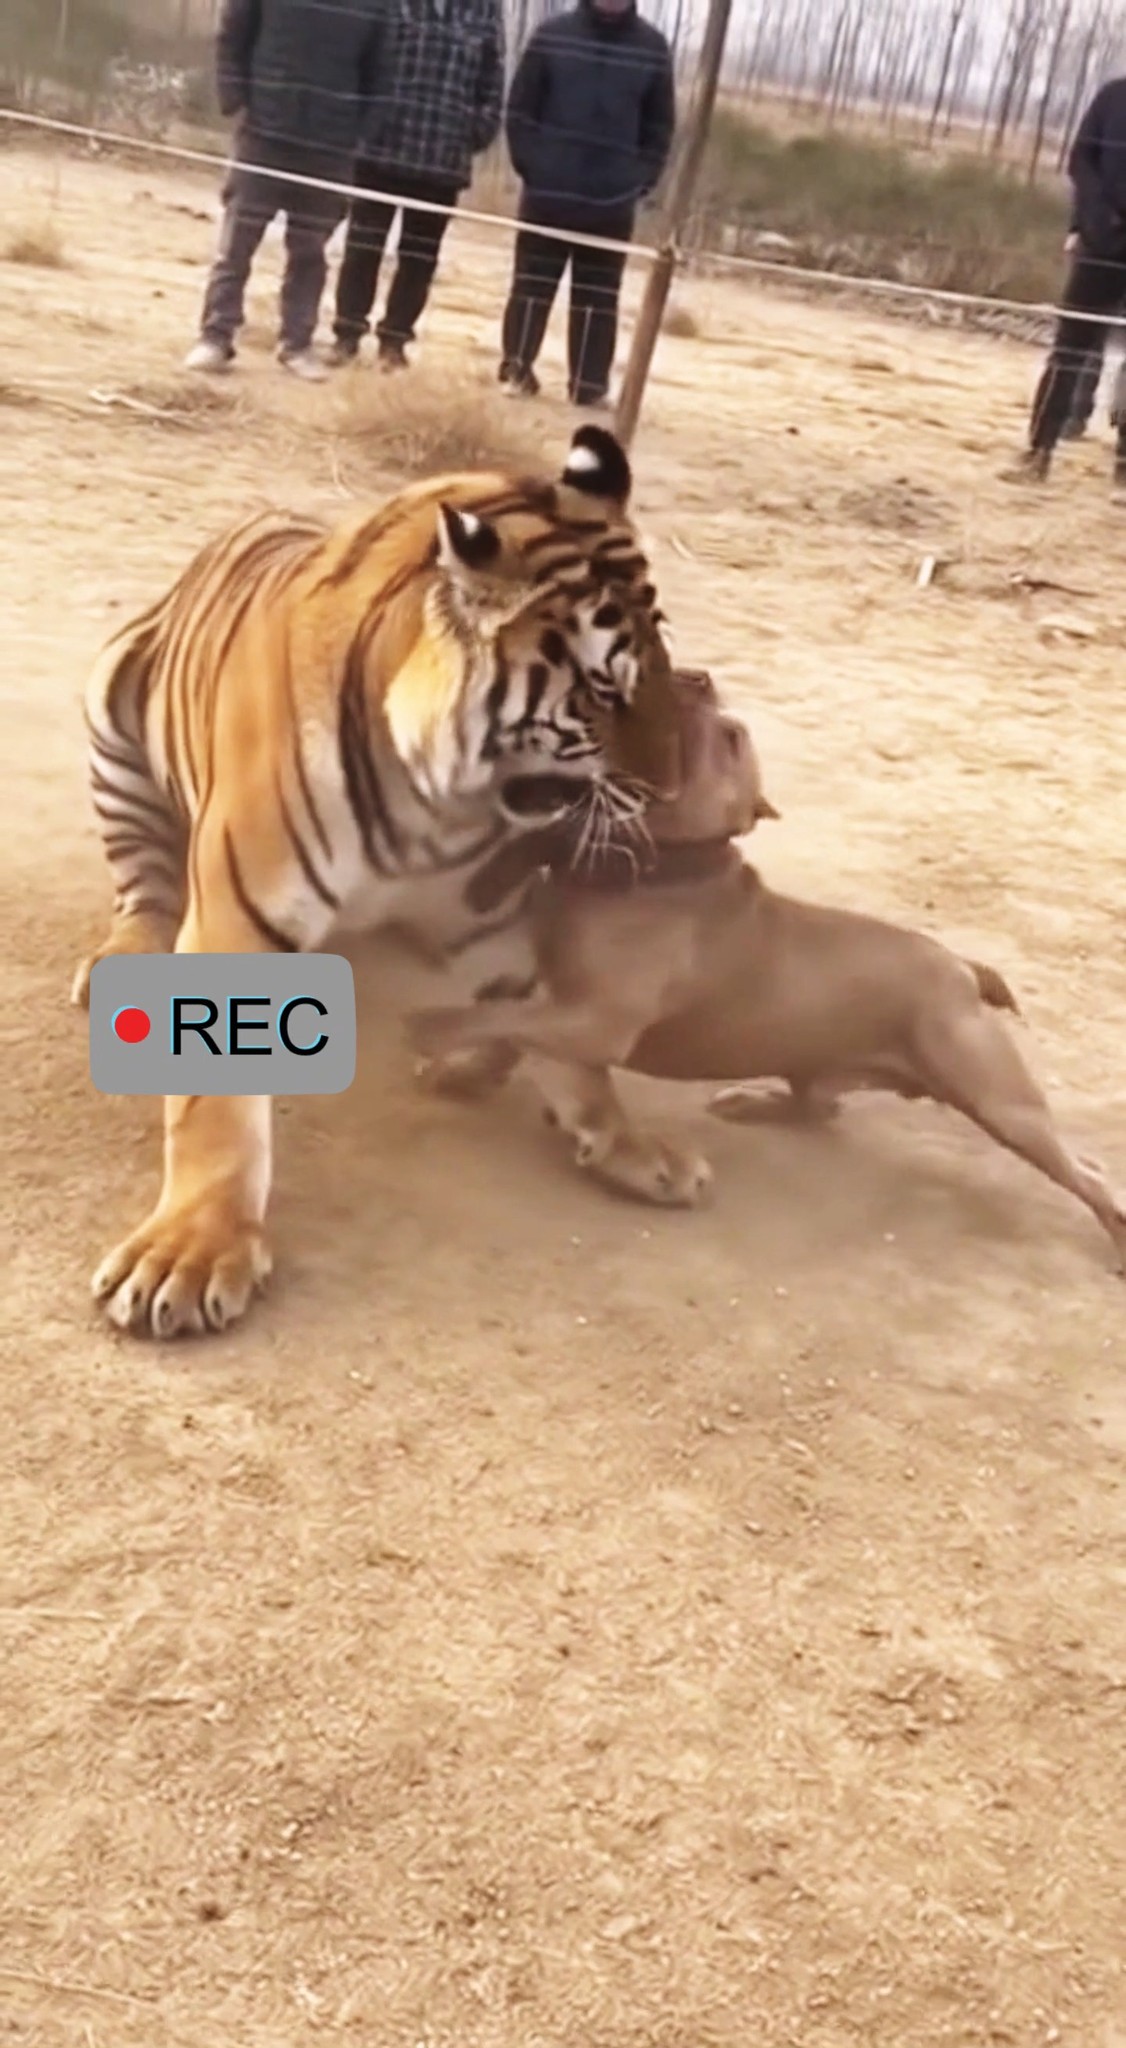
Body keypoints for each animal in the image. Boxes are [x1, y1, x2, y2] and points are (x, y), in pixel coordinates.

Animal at [72, 422, 686, 1340]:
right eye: (605, 690)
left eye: (666, 657)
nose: (676, 786)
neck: (438, 804)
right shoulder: (239, 919)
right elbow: (218, 1111)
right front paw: (191, 1252)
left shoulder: (492, 918)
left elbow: (568, 1038)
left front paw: (628, 1145)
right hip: (111, 712)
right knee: (142, 884)